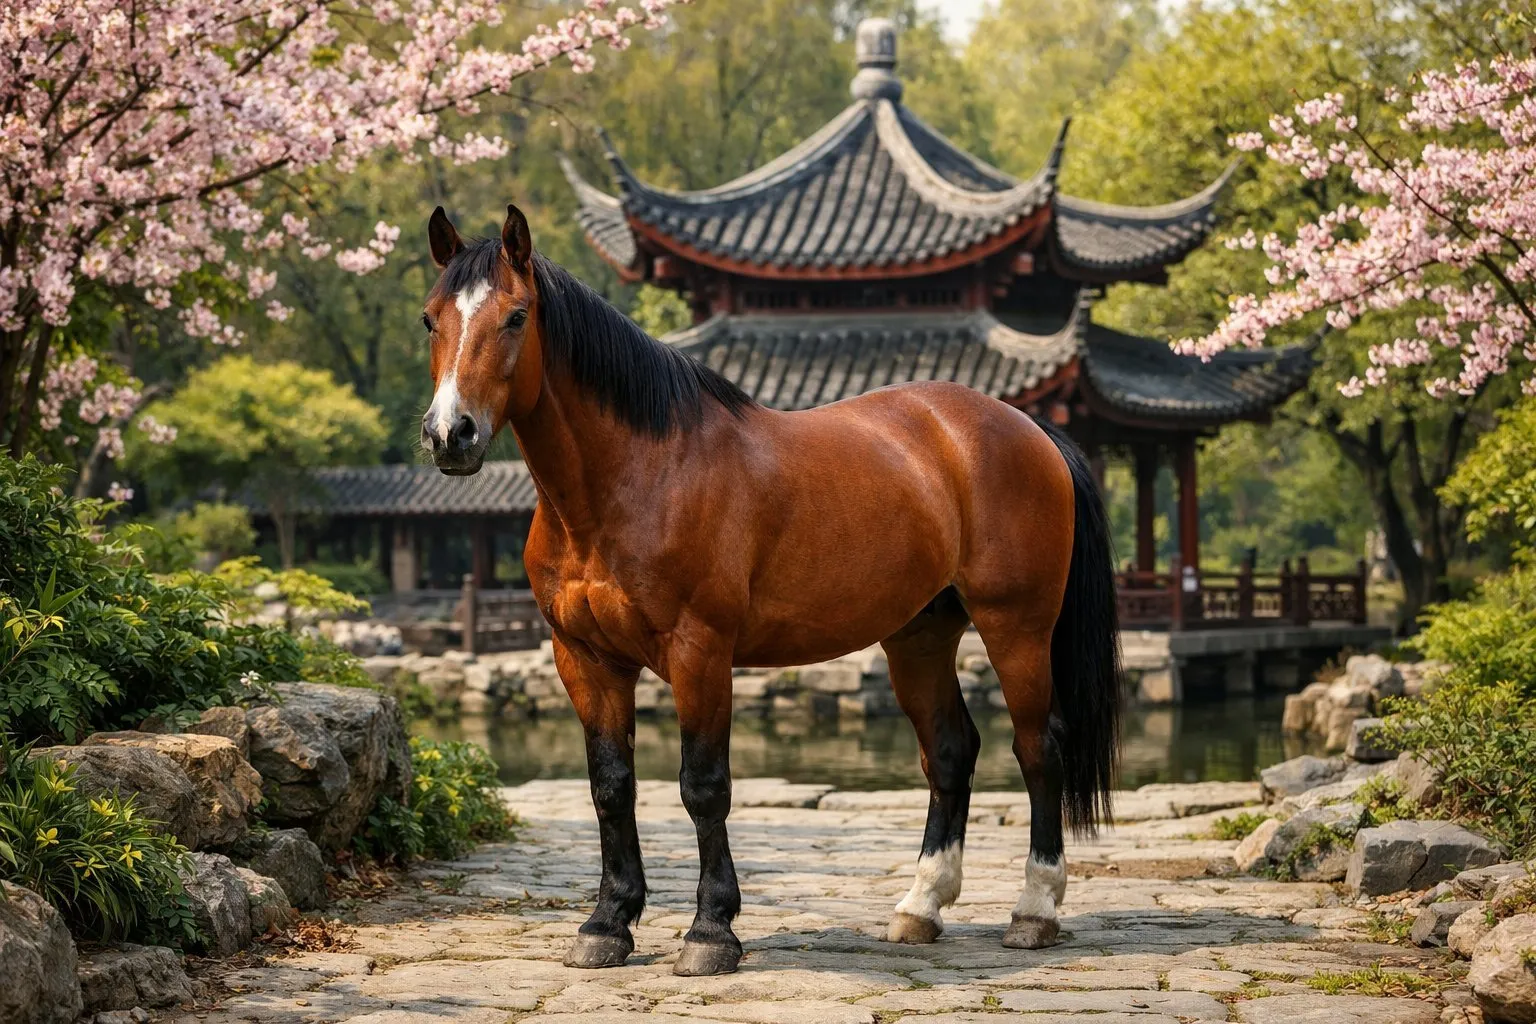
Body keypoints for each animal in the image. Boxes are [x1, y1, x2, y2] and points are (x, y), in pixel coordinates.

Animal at [417, 204, 1122, 978]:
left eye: (516, 317)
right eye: (430, 318)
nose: (450, 434)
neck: (635, 476)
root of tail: (1029, 428)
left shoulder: (699, 653)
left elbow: (703, 787)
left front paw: (710, 932)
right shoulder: (585, 658)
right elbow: (611, 787)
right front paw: (607, 924)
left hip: (1016, 628)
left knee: (1037, 747)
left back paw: (1035, 910)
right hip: (919, 636)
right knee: (950, 752)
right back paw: (921, 906)